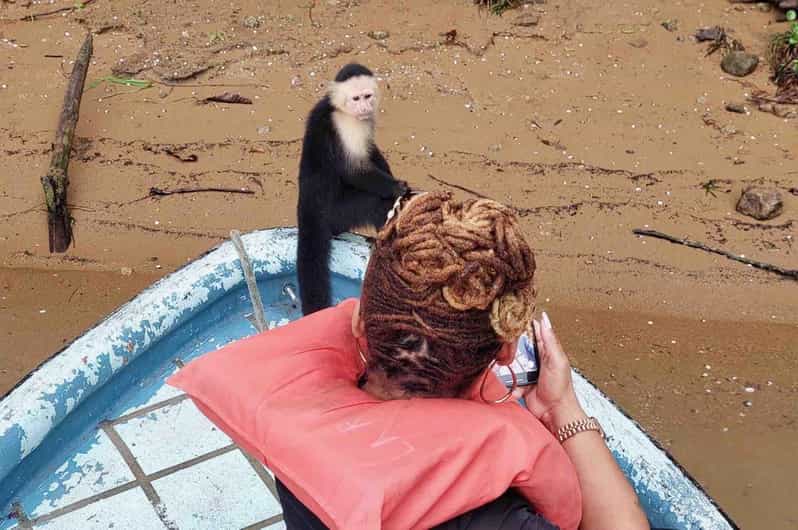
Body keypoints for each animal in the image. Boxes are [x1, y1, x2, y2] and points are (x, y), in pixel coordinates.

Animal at [296, 63, 408, 316]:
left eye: (367, 96)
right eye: (355, 99)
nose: (364, 106)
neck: (340, 109)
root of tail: (308, 205)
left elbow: (371, 151)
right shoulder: (347, 125)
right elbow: (354, 171)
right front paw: (397, 187)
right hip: (338, 214)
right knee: (376, 205)